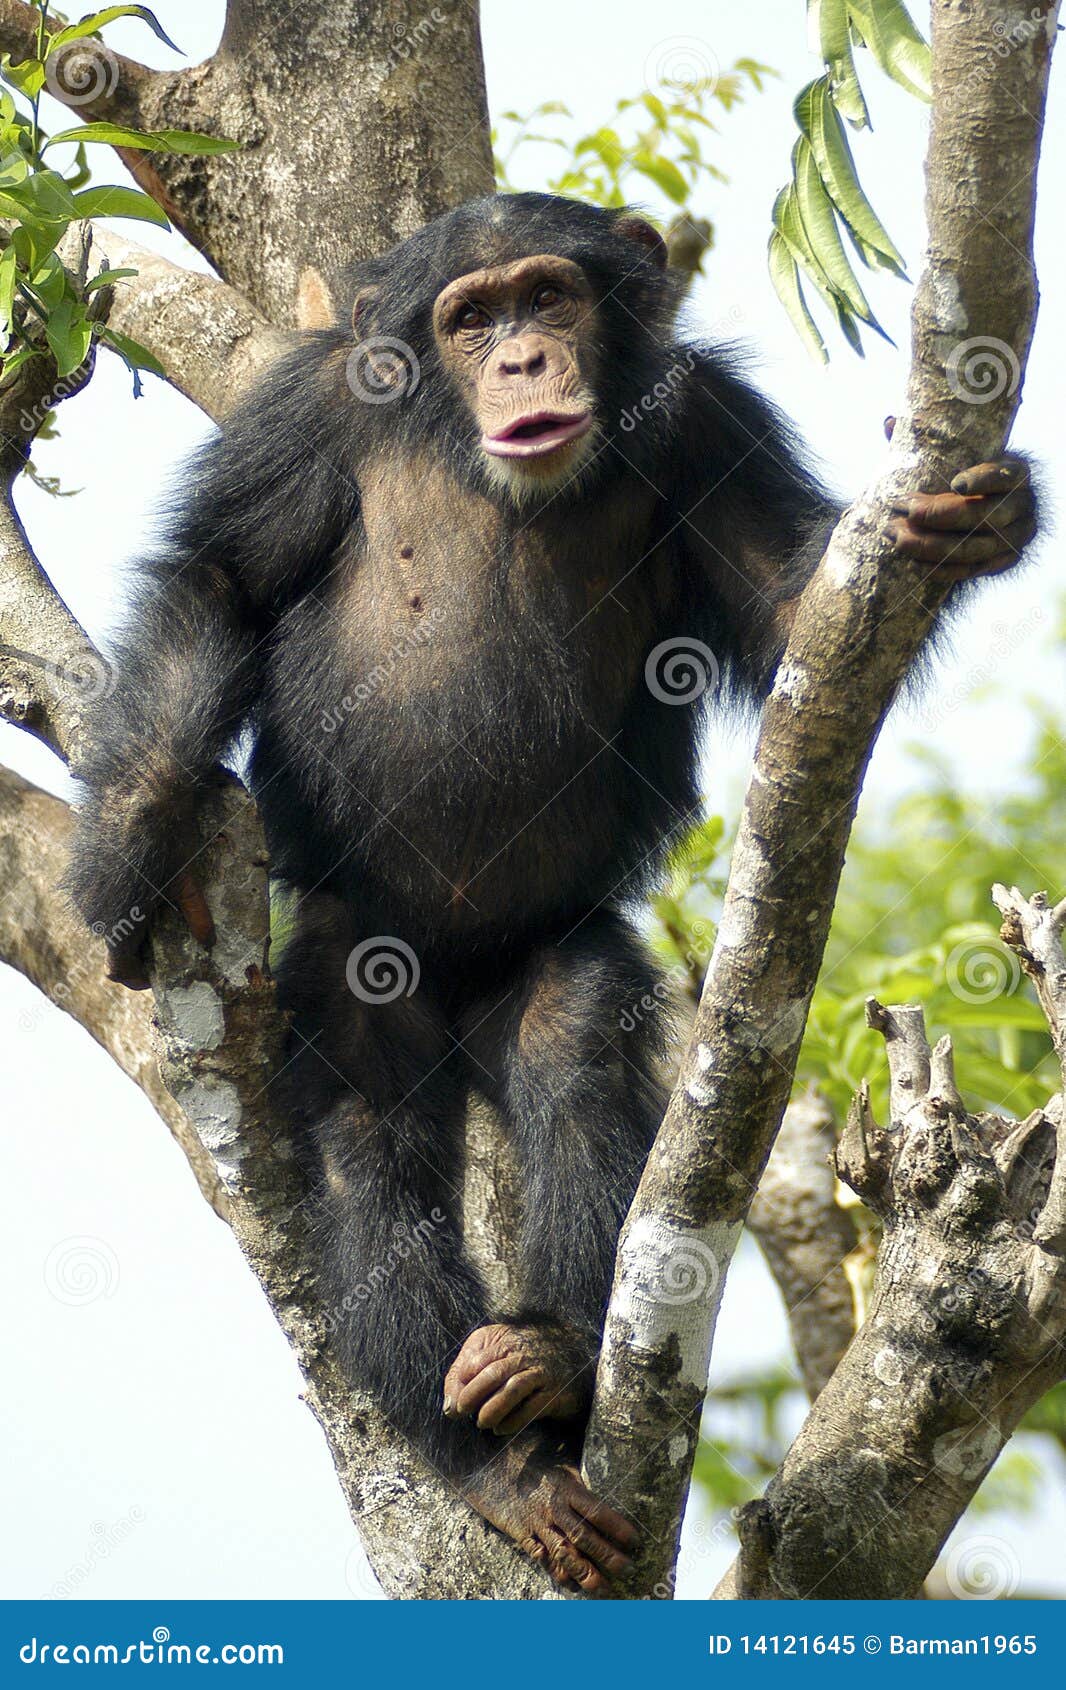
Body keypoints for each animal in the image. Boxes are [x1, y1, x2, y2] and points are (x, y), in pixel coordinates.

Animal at [67, 192, 1036, 1593]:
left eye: (548, 296)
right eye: (472, 318)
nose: (524, 356)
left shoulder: (709, 421)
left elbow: (788, 604)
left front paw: (982, 524)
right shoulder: (305, 415)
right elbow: (224, 578)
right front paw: (134, 837)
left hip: (548, 950)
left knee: (574, 1062)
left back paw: (548, 1361)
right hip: (358, 956)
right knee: (365, 1139)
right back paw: (488, 1457)